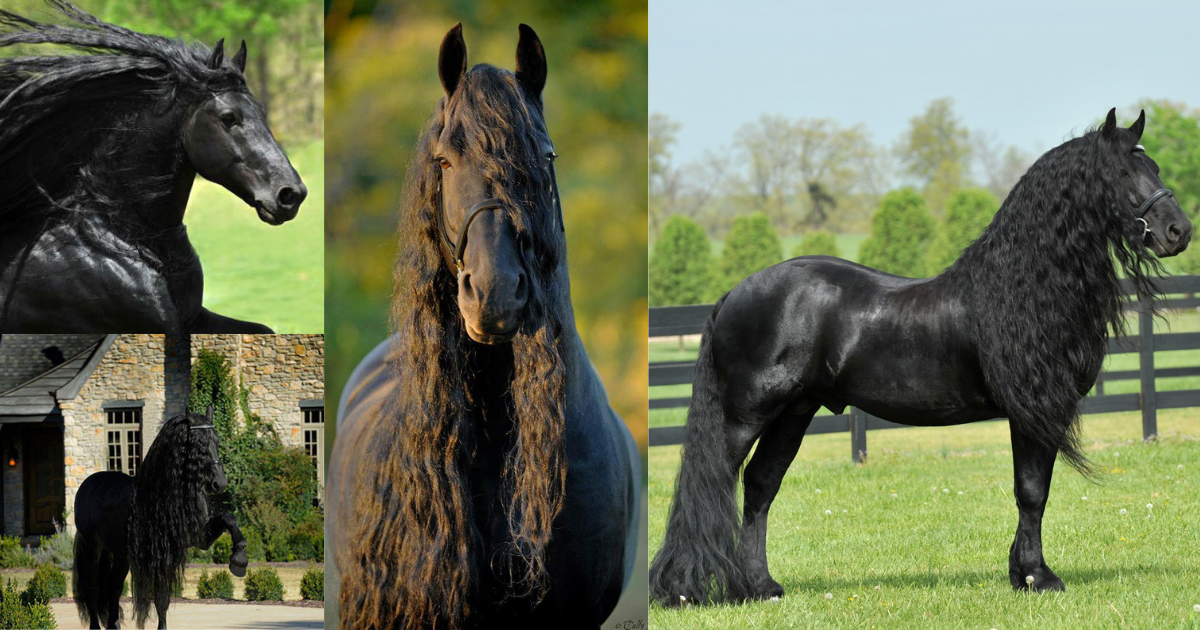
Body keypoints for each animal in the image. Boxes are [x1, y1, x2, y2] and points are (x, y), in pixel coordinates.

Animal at [73, 406, 249, 629]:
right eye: (198, 444)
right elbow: (161, 598)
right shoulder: (162, 554)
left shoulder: (199, 538)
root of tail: (89, 483)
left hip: (120, 553)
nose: (220, 483)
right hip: (91, 545)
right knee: (91, 588)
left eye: (216, 441)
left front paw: (239, 560)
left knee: (113, 587)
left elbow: (229, 518)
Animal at [649, 109, 1193, 605]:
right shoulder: (1032, 413)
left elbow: (1032, 493)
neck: (1019, 289)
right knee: (710, 484)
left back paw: (761, 587)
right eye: (1121, 172)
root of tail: (734, 293)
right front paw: (1038, 578)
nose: (1178, 231)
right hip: (745, 415)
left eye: (1155, 167)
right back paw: (687, 588)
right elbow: (1031, 491)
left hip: (794, 413)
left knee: (761, 487)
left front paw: (1023, 573)